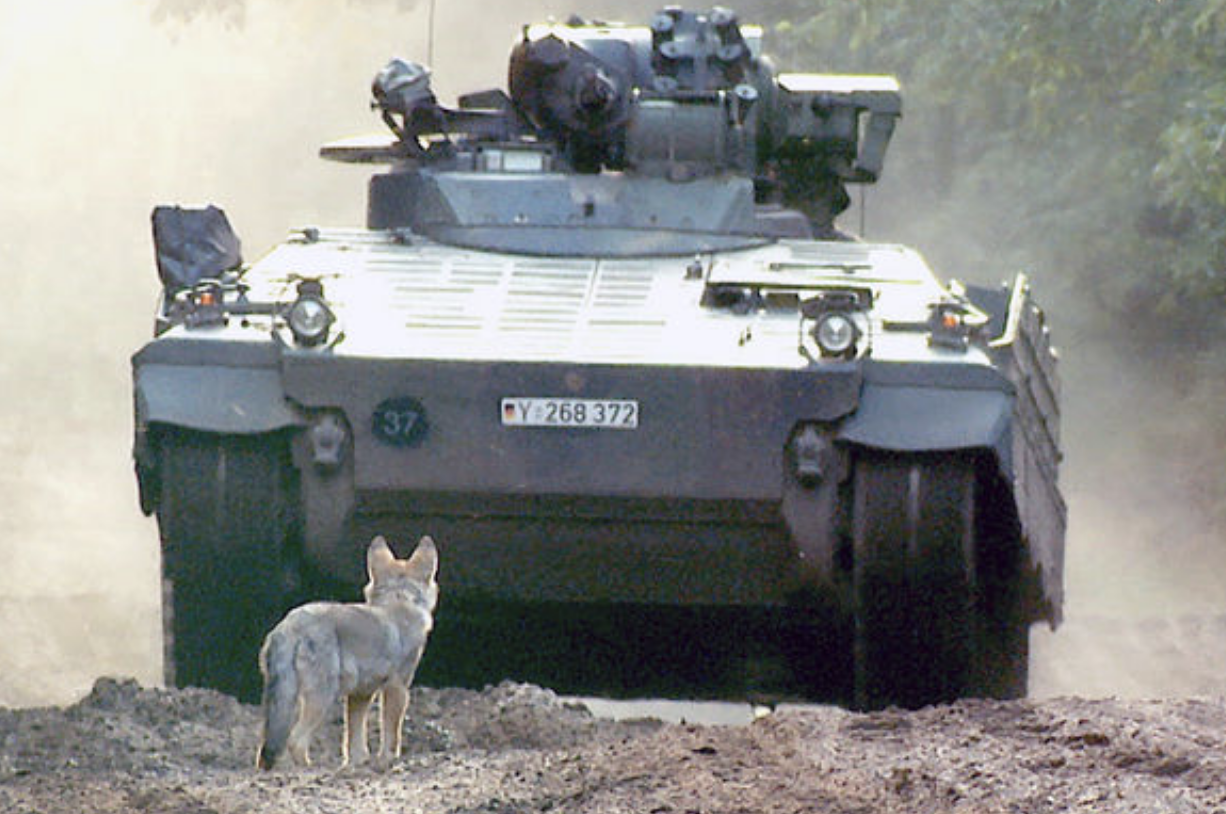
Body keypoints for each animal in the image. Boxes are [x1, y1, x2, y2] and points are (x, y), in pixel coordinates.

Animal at [255, 535, 439, 770]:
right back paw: (310, 767)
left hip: (287, 701)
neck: (399, 599)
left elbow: (354, 739)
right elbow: (391, 734)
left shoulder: (361, 693)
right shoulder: (397, 688)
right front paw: (388, 761)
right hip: (323, 699)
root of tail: (290, 625)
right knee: (295, 740)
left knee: (270, 745)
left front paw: (358, 763)